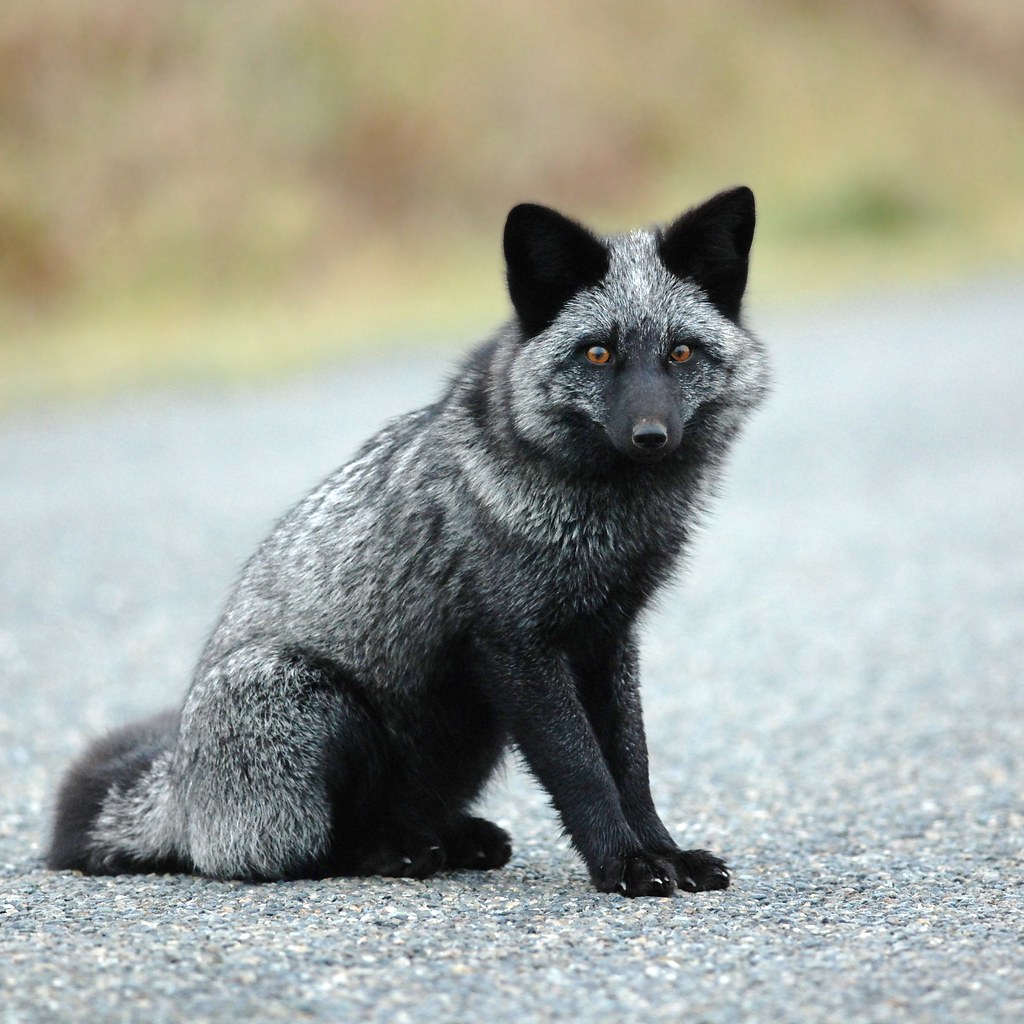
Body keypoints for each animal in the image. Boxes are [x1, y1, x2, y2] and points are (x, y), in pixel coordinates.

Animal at [48, 186, 769, 897]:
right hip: (316, 702)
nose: (651, 436)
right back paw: (394, 854)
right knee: (304, 852)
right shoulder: (518, 648)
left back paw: (452, 838)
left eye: (680, 353)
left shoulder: (607, 639)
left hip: (473, 728)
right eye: (598, 353)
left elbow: (631, 764)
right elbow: (585, 771)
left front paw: (664, 851)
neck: (605, 518)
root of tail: (181, 795)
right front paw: (625, 863)